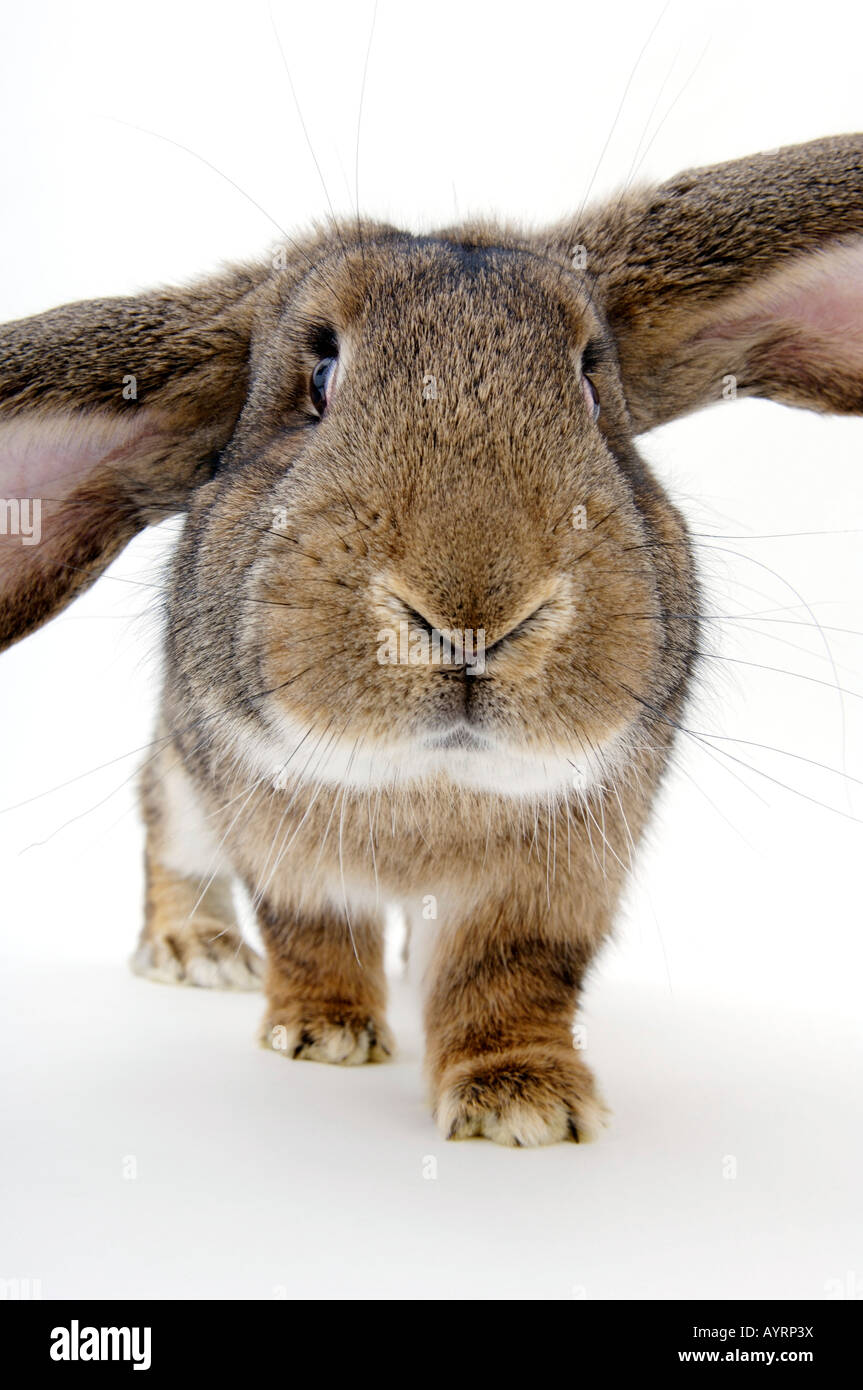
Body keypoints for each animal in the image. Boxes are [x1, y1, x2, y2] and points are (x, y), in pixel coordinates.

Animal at [2, 134, 862, 1146]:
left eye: (590, 384)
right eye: (319, 379)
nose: (471, 614)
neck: (433, 782)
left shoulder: (559, 884)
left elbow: (514, 974)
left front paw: (524, 1103)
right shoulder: (278, 848)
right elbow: (313, 936)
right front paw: (321, 1035)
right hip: (181, 778)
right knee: (163, 836)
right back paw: (195, 949)